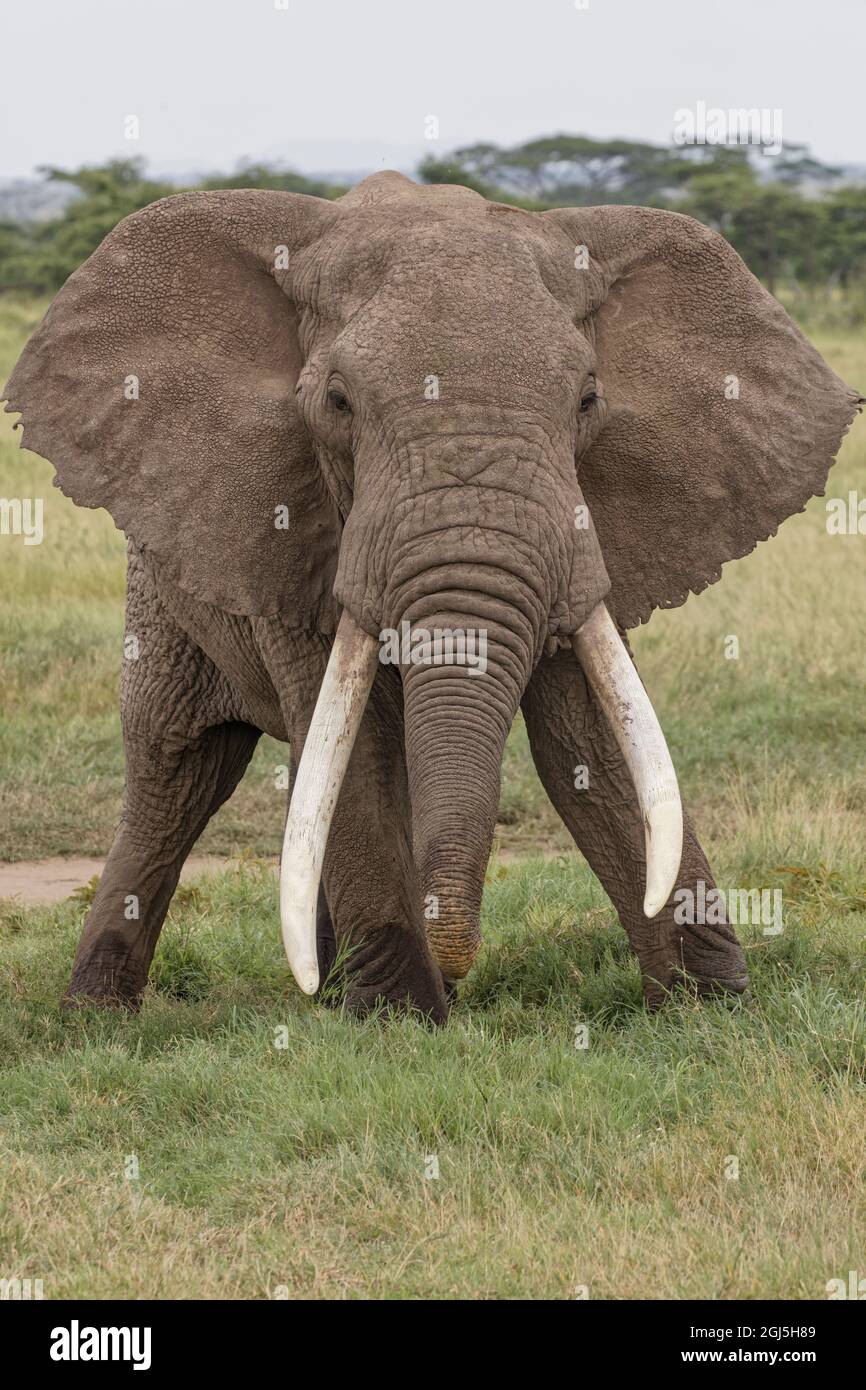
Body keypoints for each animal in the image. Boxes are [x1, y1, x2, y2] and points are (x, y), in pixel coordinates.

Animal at [3, 171, 860, 1021]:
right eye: (338, 402)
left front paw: (708, 1008)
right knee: (176, 769)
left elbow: (588, 740)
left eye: (588, 400)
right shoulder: (291, 528)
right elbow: (361, 753)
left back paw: (323, 987)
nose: (461, 967)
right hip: (160, 584)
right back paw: (100, 1013)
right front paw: (401, 1018)